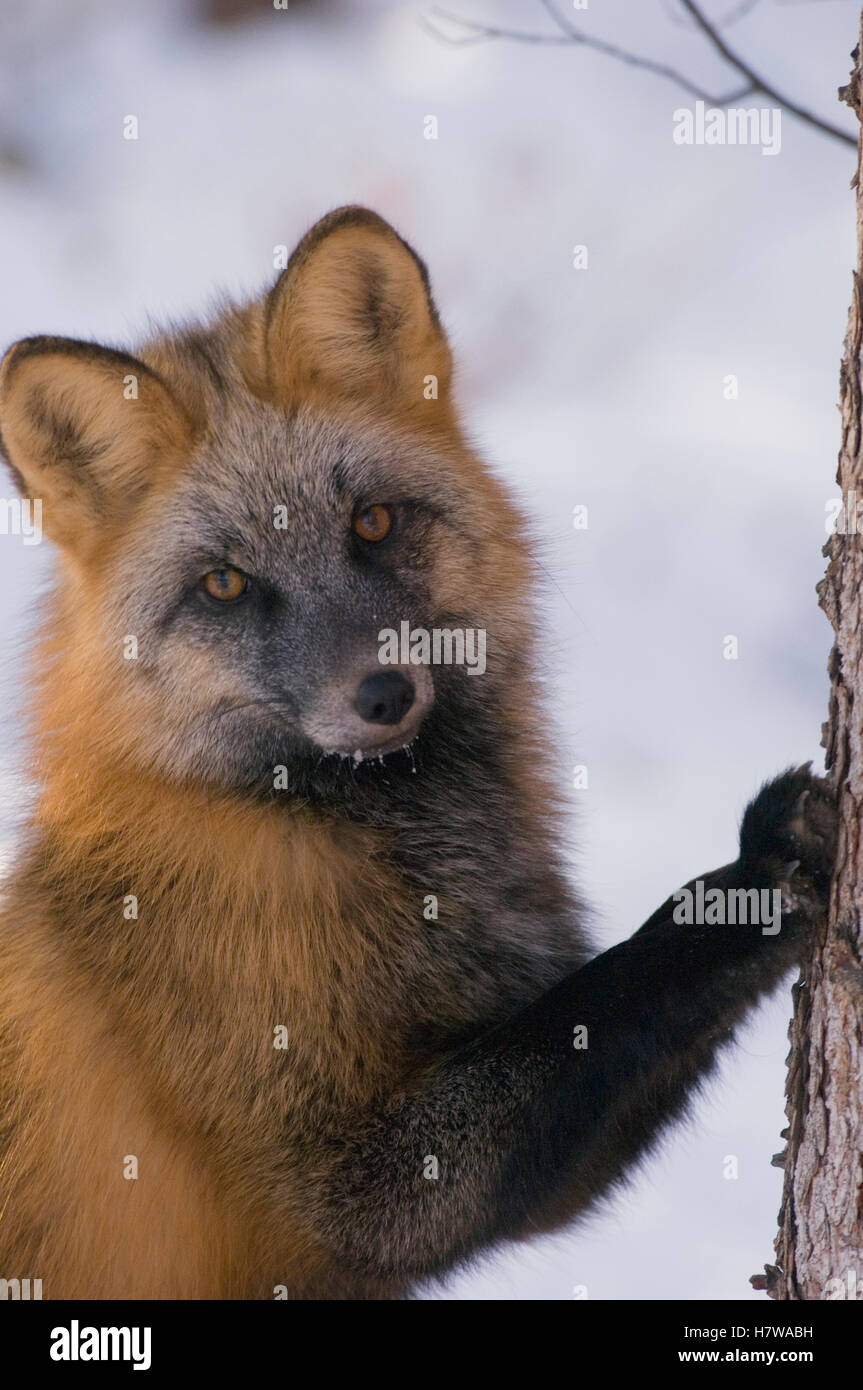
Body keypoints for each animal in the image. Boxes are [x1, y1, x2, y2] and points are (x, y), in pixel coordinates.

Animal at [0, 206, 837, 1300]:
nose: (382, 692)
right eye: (226, 584)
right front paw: (748, 876)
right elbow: (614, 991)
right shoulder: (345, 1184)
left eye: (372, 523)